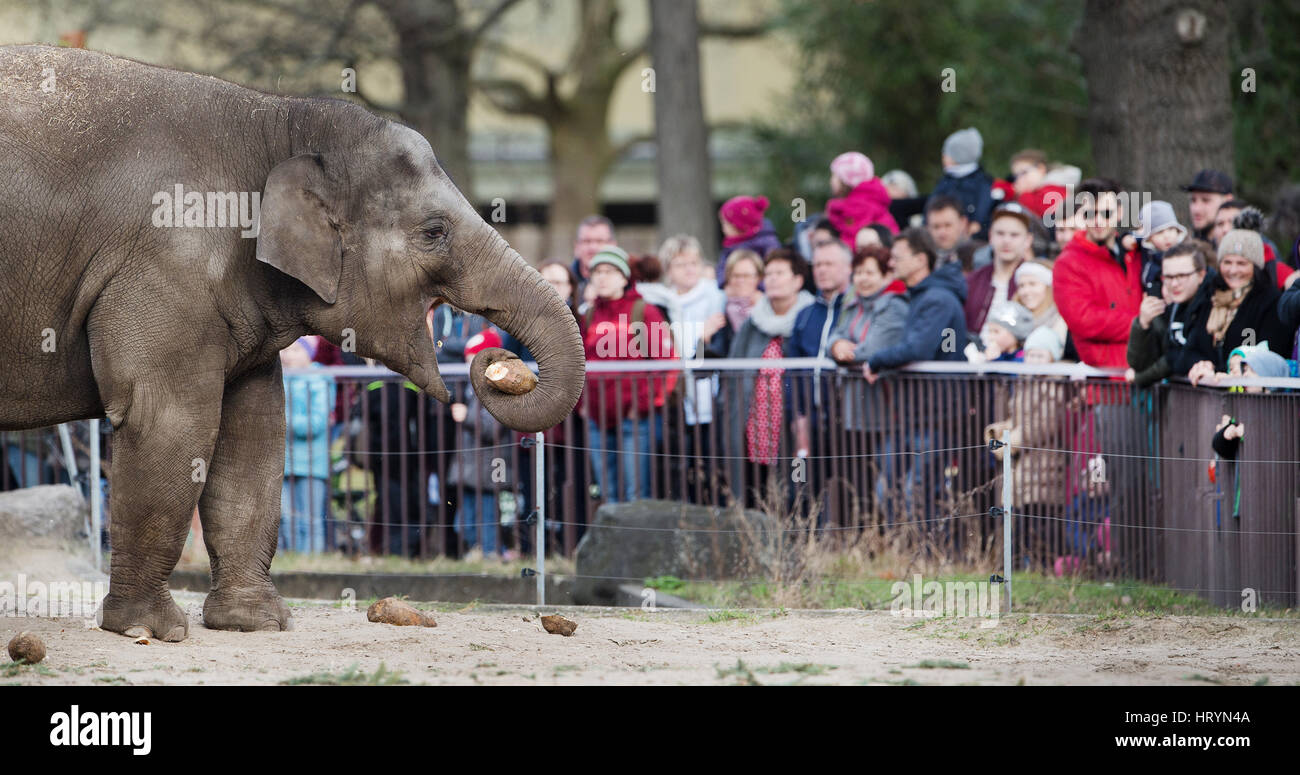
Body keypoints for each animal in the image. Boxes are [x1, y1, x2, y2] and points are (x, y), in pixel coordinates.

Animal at [0, 45, 585, 641]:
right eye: (434, 232)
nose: (496, 358)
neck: (282, 121)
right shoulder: (165, 262)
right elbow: (170, 420)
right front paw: (151, 630)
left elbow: (255, 430)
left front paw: (254, 623)